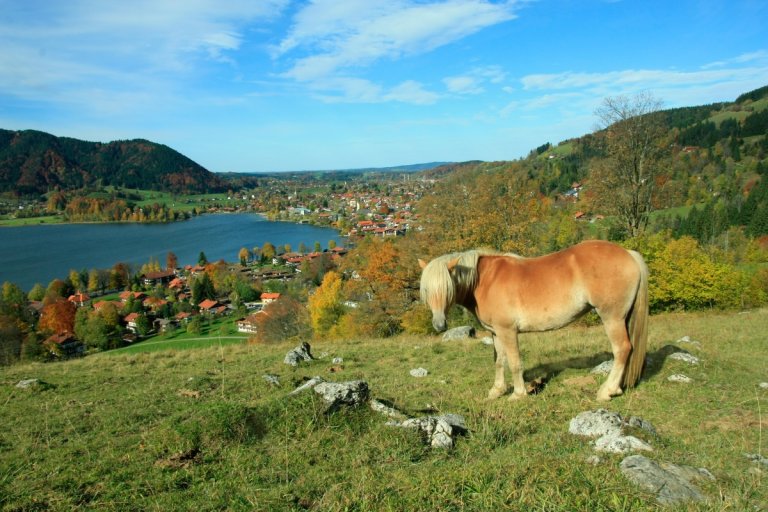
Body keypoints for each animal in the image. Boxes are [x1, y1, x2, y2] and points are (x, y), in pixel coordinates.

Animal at [418, 240, 649, 401]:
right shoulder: (496, 332)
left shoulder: (508, 331)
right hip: (622, 318)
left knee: (622, 349)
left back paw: (606, 391)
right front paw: (496, 391)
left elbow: (514, 363)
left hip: (611, 317)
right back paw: (617, 388)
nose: (439, 325)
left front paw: (518, 394)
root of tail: (628, 253)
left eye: (447, 288)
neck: (485, 280)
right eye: (427, 290)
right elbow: (499, 362)